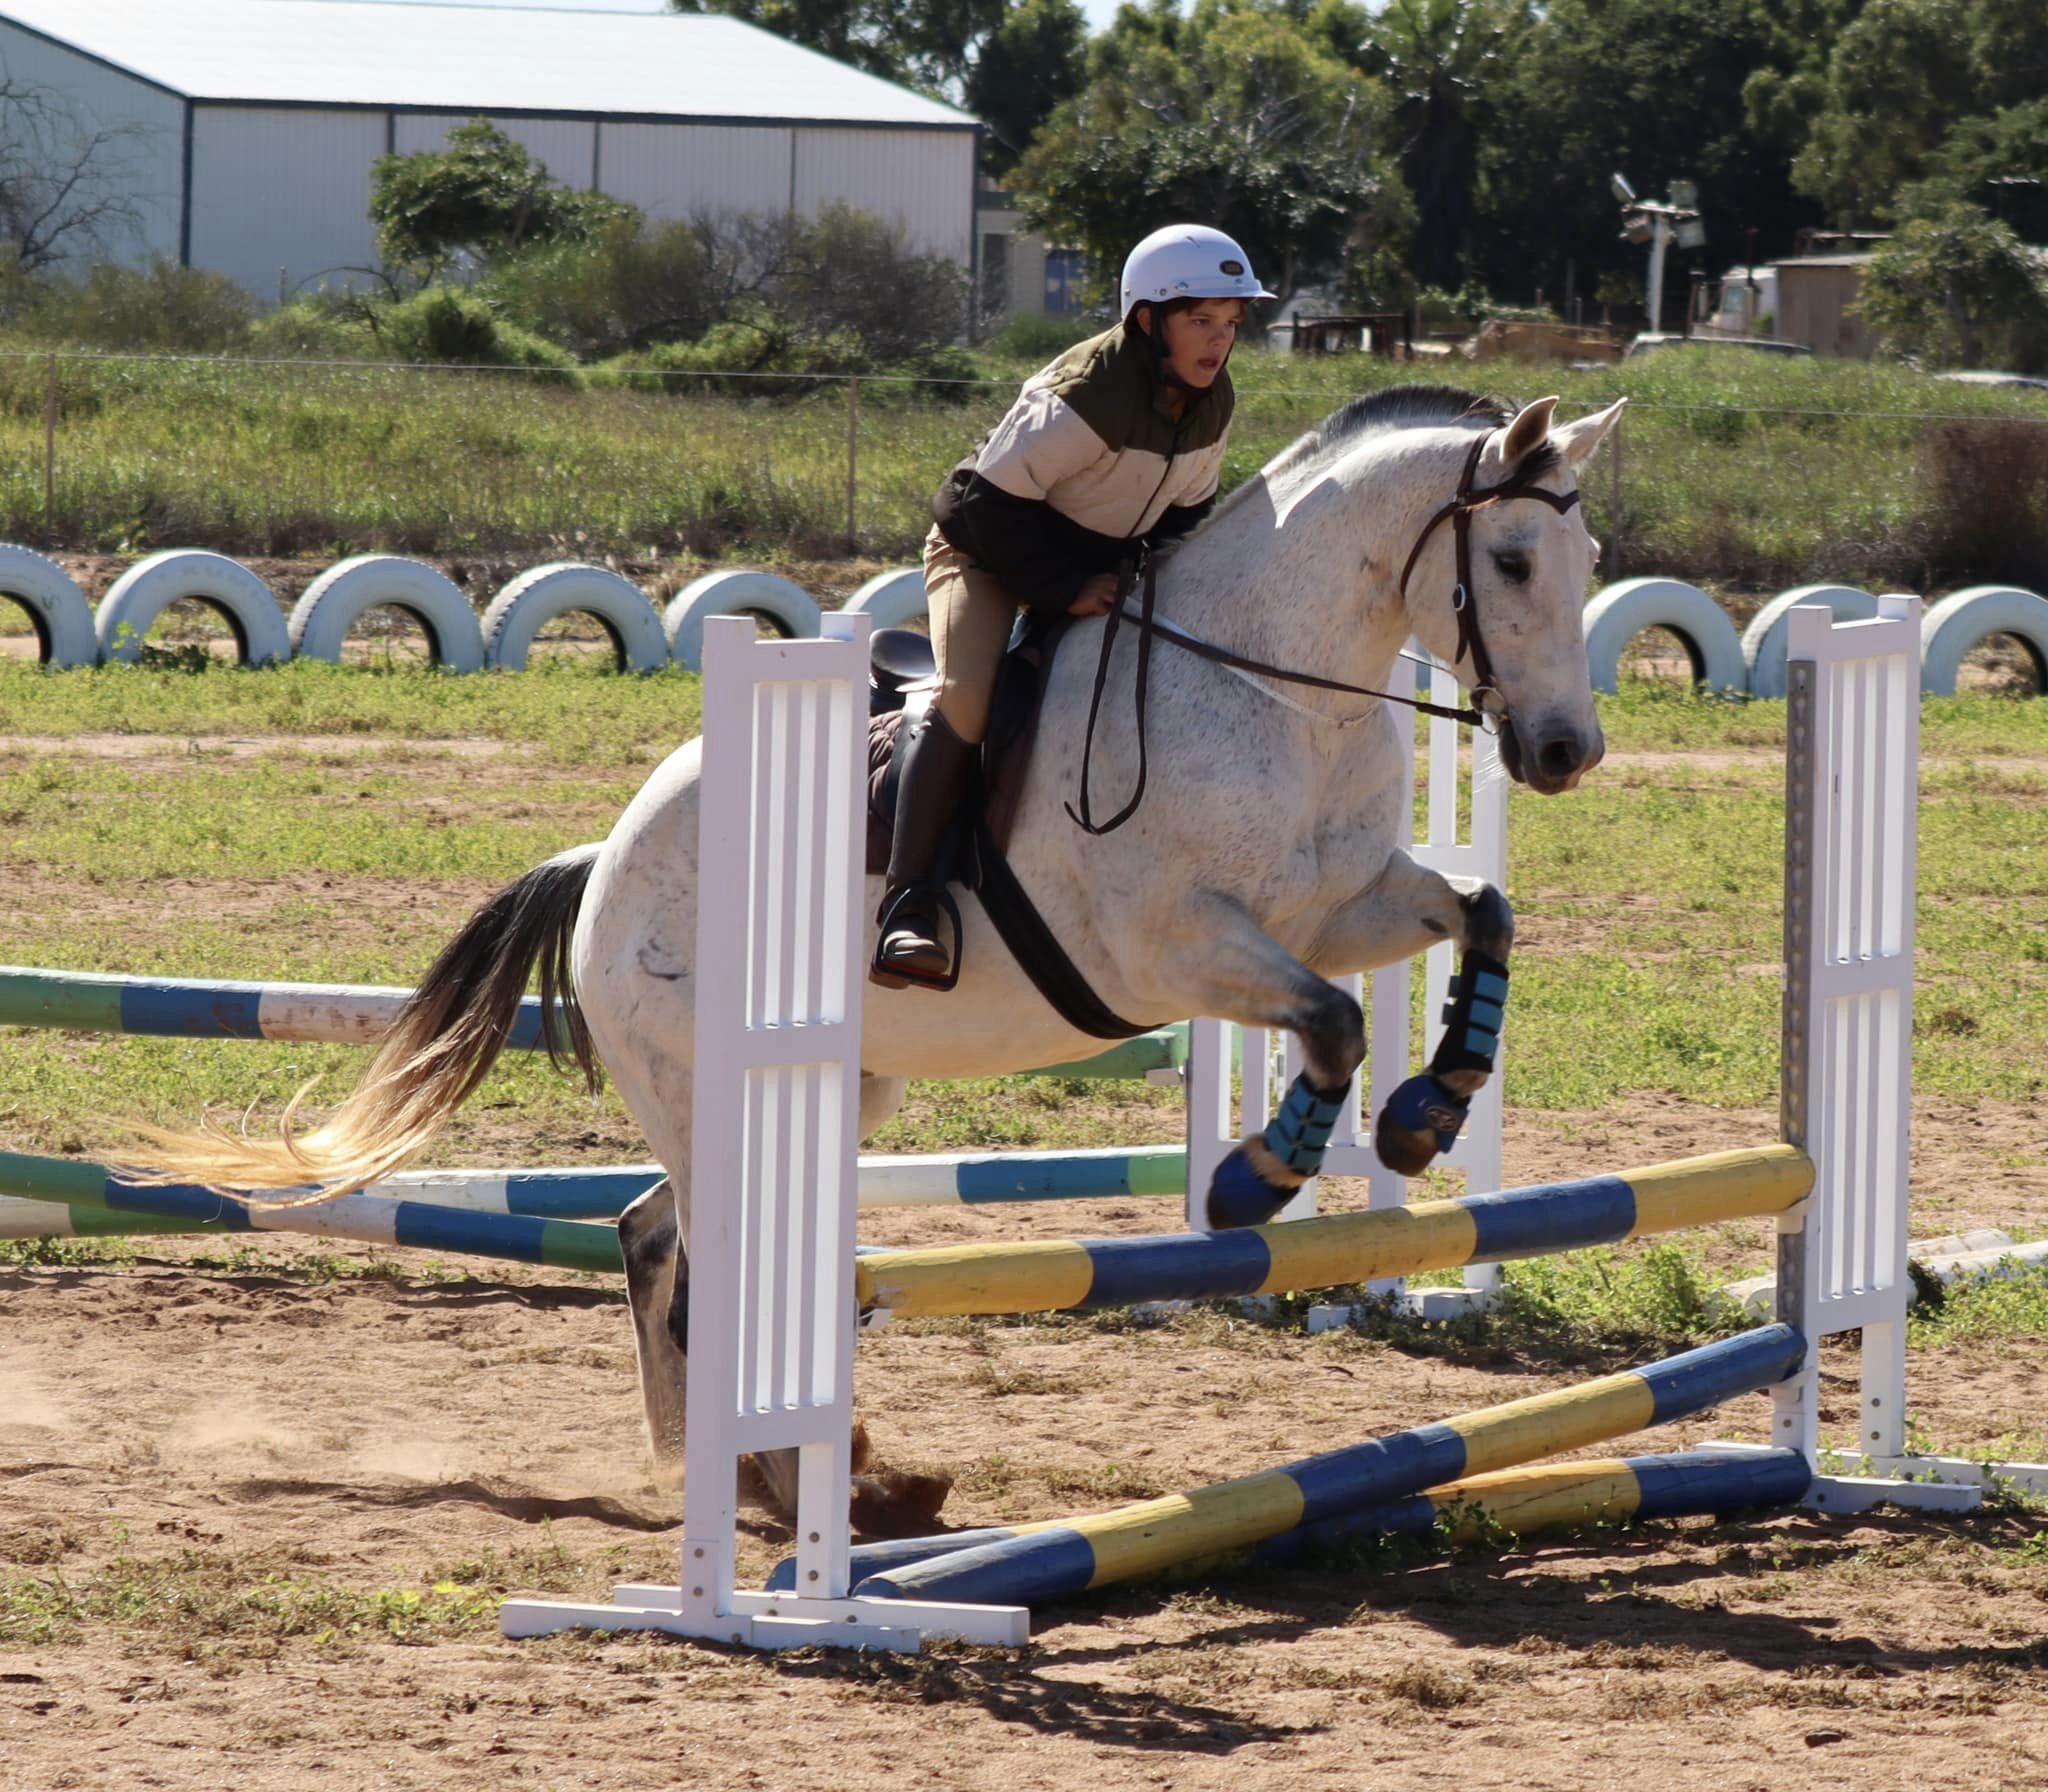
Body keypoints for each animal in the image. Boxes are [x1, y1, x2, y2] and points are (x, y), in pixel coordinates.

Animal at [122, 384, 1625, 1525]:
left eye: (1590, 568)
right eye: (1507, 564)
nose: (1564, 752)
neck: (1269, 684)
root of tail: (603, 866)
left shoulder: (1347, 902)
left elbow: (1478, 916)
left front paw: (1426, 1113)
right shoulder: (1175, 946)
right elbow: (1330, 1023)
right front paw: (1257, 1176)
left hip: (832, 1094)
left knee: (656, 1238)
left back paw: (764, 1477)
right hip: (710, 1082)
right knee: (702, 1263)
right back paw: (798, 1483)